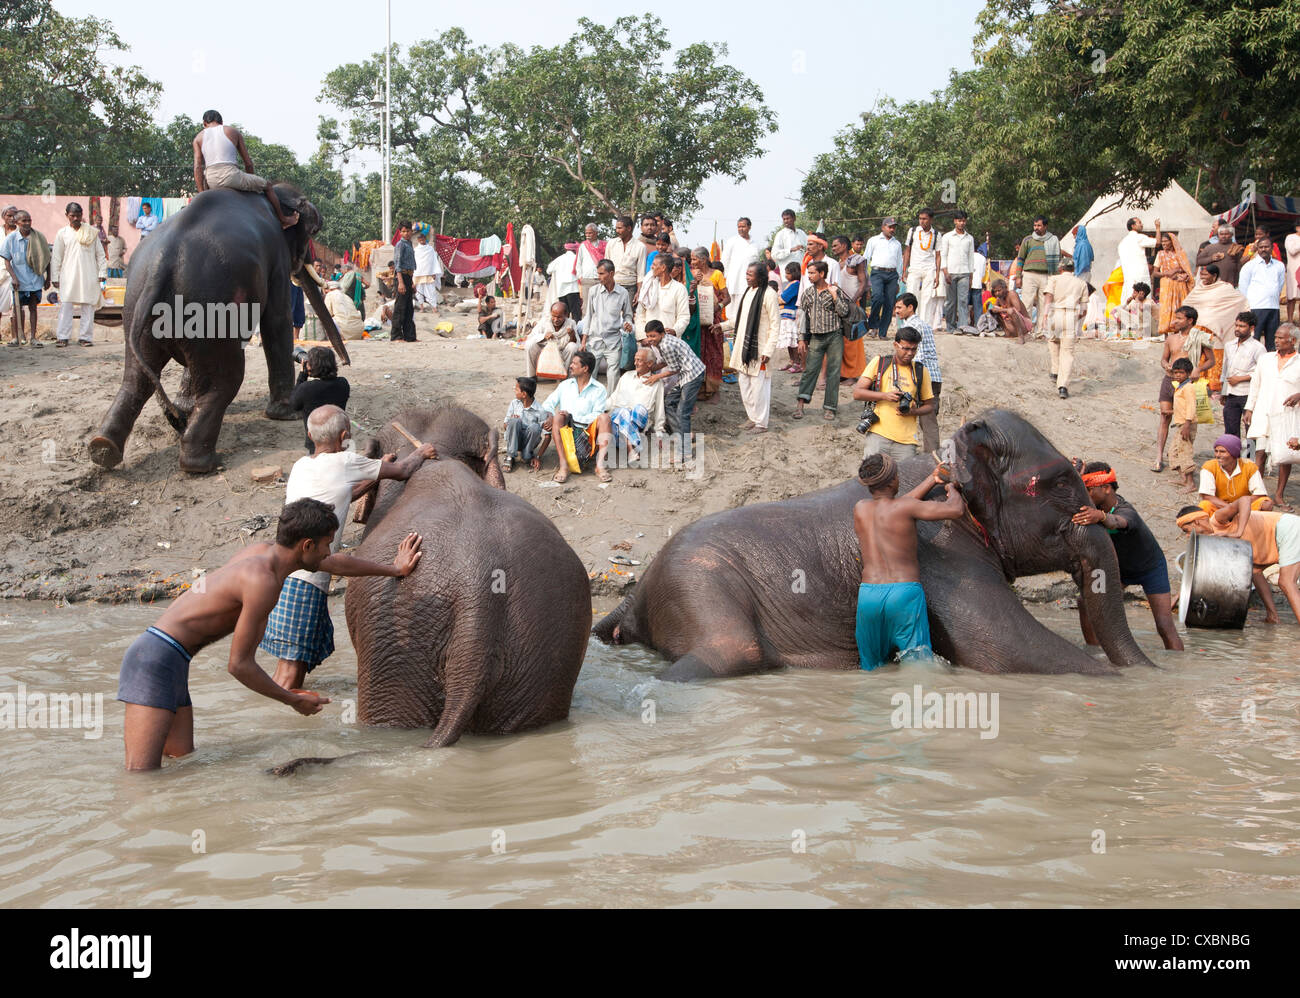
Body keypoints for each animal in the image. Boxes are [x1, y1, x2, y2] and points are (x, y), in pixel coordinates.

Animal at [88, 184, 350, 475]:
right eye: (313, 231)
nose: (344, 363)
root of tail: (160, 262)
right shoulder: (278, 258)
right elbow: (276, 320)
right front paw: (287, 414)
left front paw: (184, 407)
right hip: (209, 308)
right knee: (226, 380)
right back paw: (203, 463)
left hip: (139, 307)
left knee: (136, 379)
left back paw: (104, 448)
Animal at [594, 409, 1158, 678]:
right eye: (1061, 481)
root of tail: (634, 594)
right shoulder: (945, 550)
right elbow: (1005, 648)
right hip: (697, 577)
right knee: (734, 649)